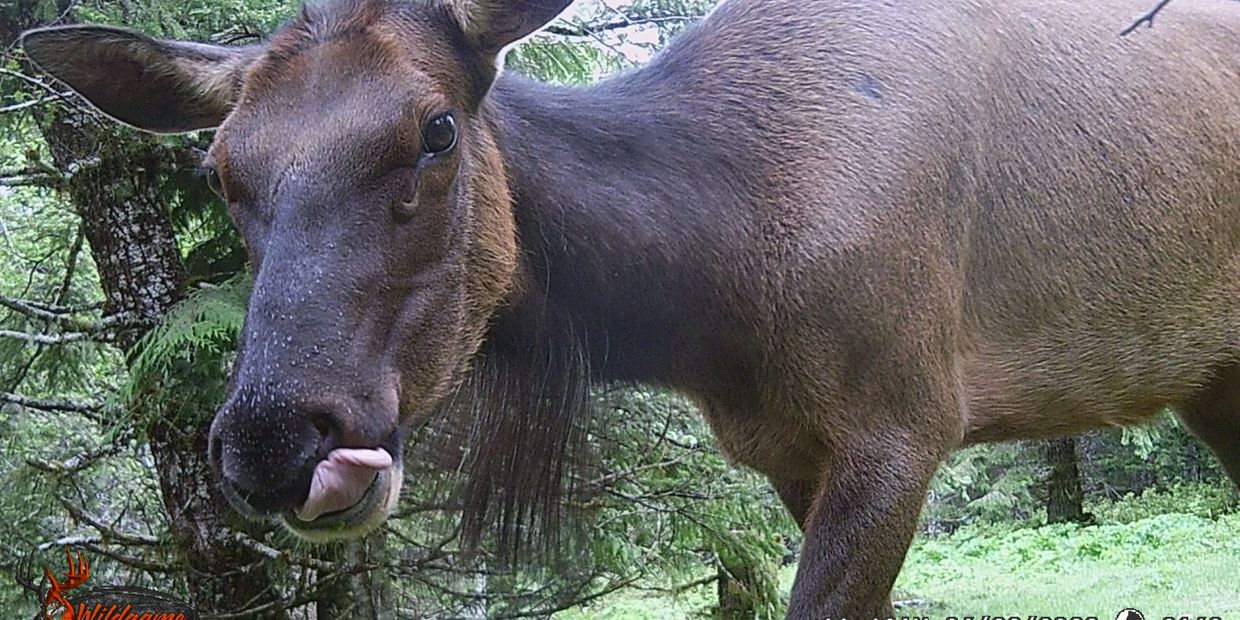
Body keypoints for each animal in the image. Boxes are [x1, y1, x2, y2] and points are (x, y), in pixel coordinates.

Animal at [21, 0, 1240, 615]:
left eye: (436, 128)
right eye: (220, 169)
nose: (275, 435)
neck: (717, 306)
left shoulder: (903, 415)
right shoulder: (792, 451)